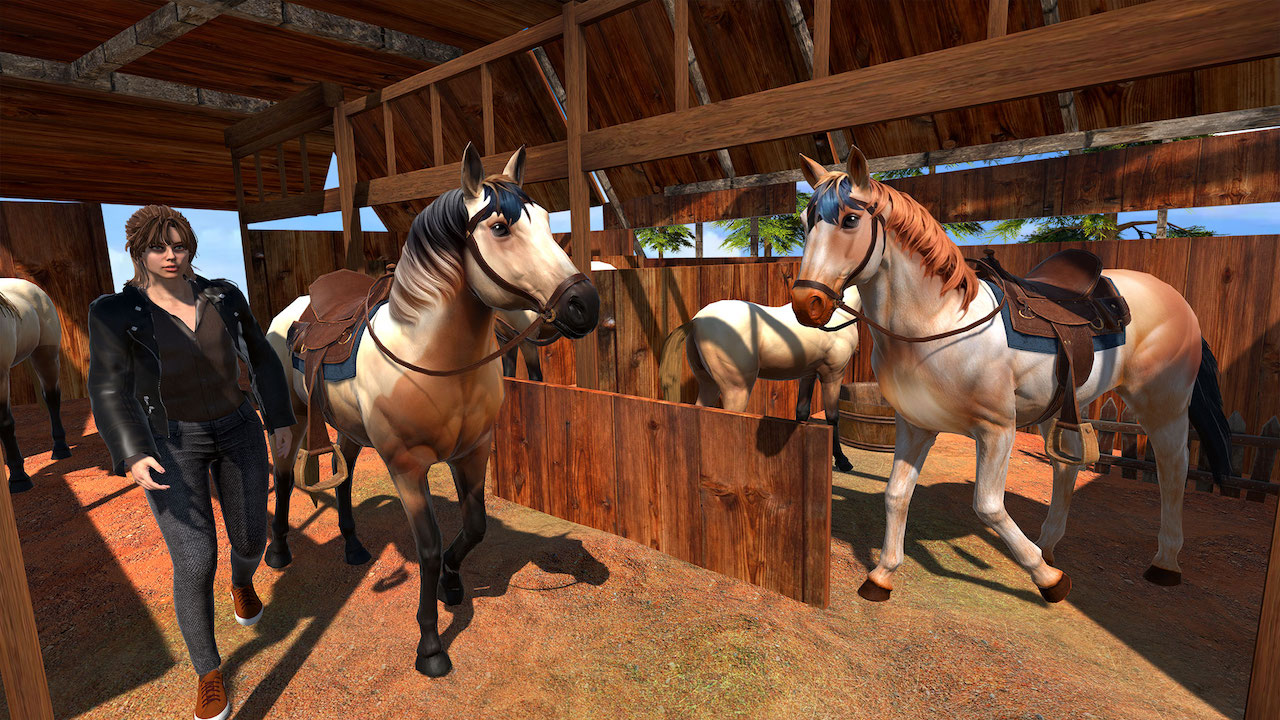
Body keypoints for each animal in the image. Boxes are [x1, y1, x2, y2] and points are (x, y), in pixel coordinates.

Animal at [1, 278, 72, 492]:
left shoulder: (1, 374)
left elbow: (5, 423)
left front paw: (18, 478)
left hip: (45, 355)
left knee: (52, 398)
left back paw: (60, 448)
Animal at [263, 144, 599, 676]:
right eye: (500, 228)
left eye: (549, 221)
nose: (584, 303)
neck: (435, 357)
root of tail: (293, 310)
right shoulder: (407, 466)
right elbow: (428, 547)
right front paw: (431, 645)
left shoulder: (473, 452)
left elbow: (475, 527)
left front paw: (453, 585)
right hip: (293, 419)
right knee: (280, 473)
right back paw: (277, 552)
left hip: (350, 430)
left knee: (346, 474)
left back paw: (354, 546)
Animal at [658, 287, 862, 471]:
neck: (839, 316)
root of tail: (696, 321)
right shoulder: (833, 374)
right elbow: (833, 416)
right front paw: (842, 460)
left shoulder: (808, 374)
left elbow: (802, 411)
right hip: (736, 390)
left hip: (709, 384)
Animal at [788, 148, 1232, 604]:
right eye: (804, 222)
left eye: (850, 220)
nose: (807, 303)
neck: (939, 322)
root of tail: (1175, 296)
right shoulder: (914, 424)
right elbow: (896, 494)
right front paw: (882, 575)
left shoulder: (997, 429)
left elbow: (988, 506)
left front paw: (1049, 581)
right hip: (1068, 403)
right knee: (1067, 467)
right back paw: (1049, 544)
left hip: (1163, 405)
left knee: (1173, 467)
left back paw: (1164, 563)